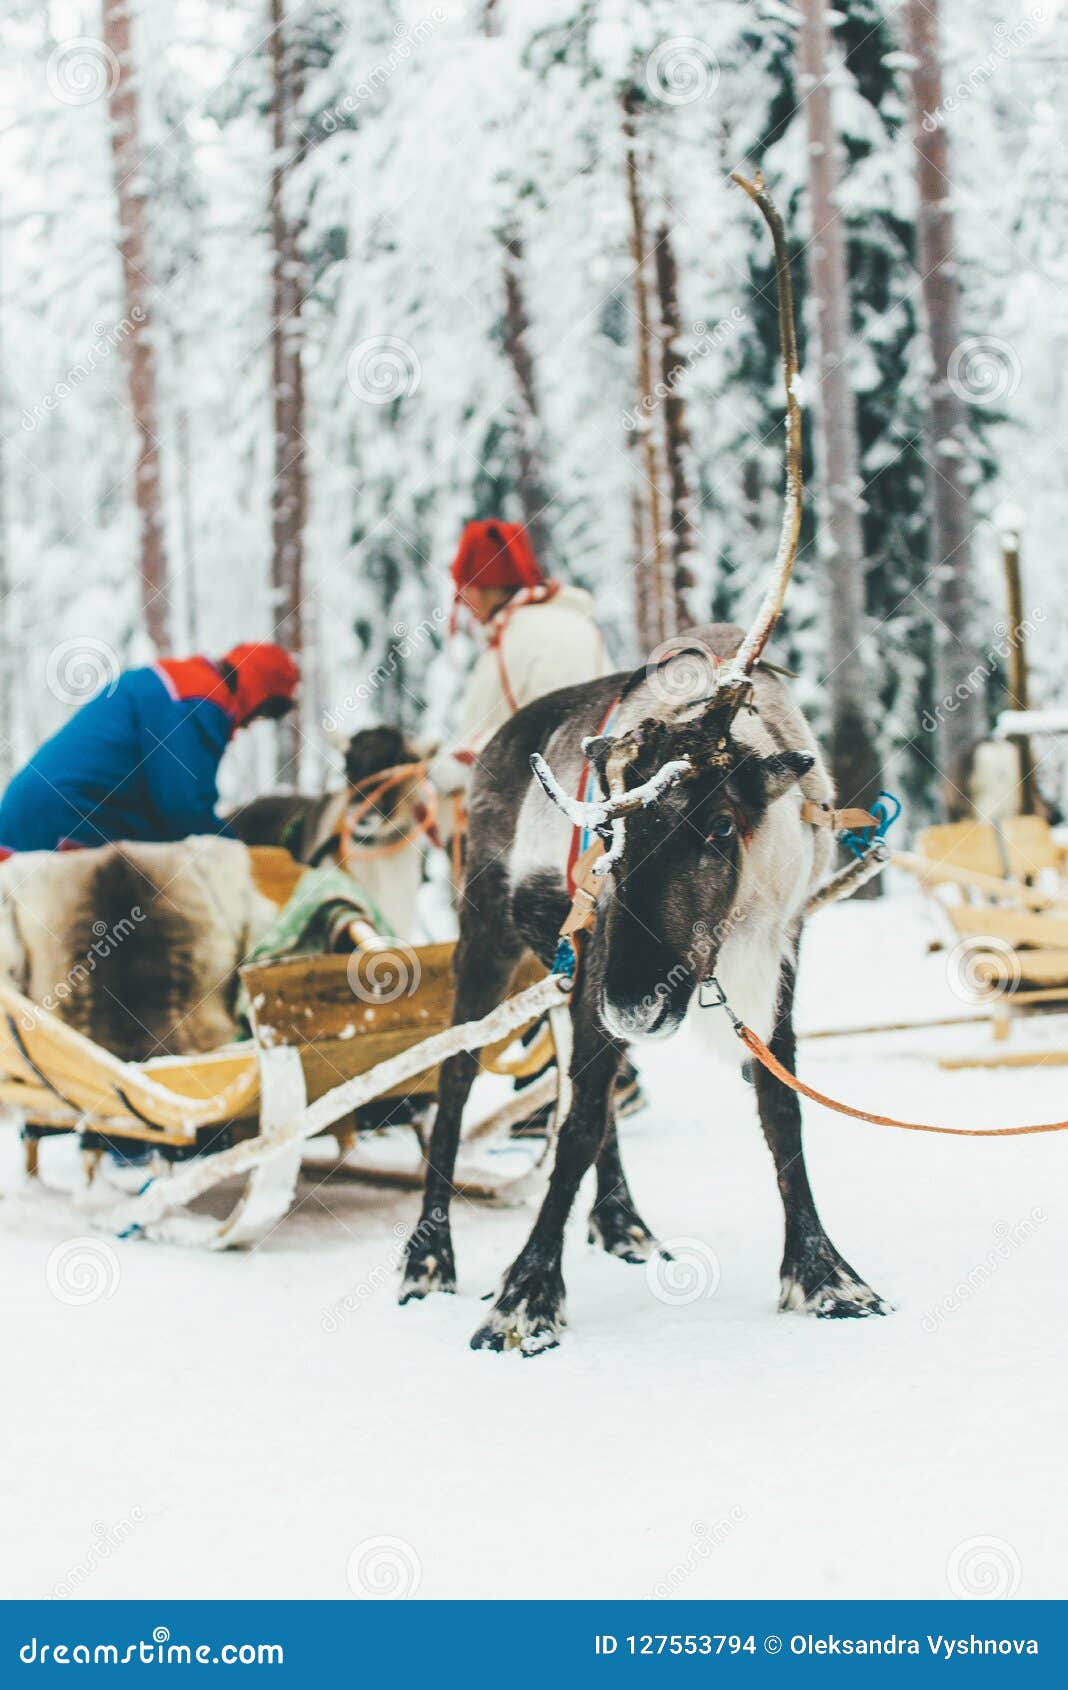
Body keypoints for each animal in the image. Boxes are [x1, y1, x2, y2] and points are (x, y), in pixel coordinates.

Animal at [398, 175, 889, 1353]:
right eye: (609, 833)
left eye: (715, 825)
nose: (635, 1000)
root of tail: (490, 747)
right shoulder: (595, 955)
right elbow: (572, 1122)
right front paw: (524, 1296)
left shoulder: (775, 959)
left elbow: (781, 1110)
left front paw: (824, 1273)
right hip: (495, 935)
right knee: (460, 1076)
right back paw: (430, 1252)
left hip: (563, 962)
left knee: (592, 1093)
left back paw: (620, 1220)